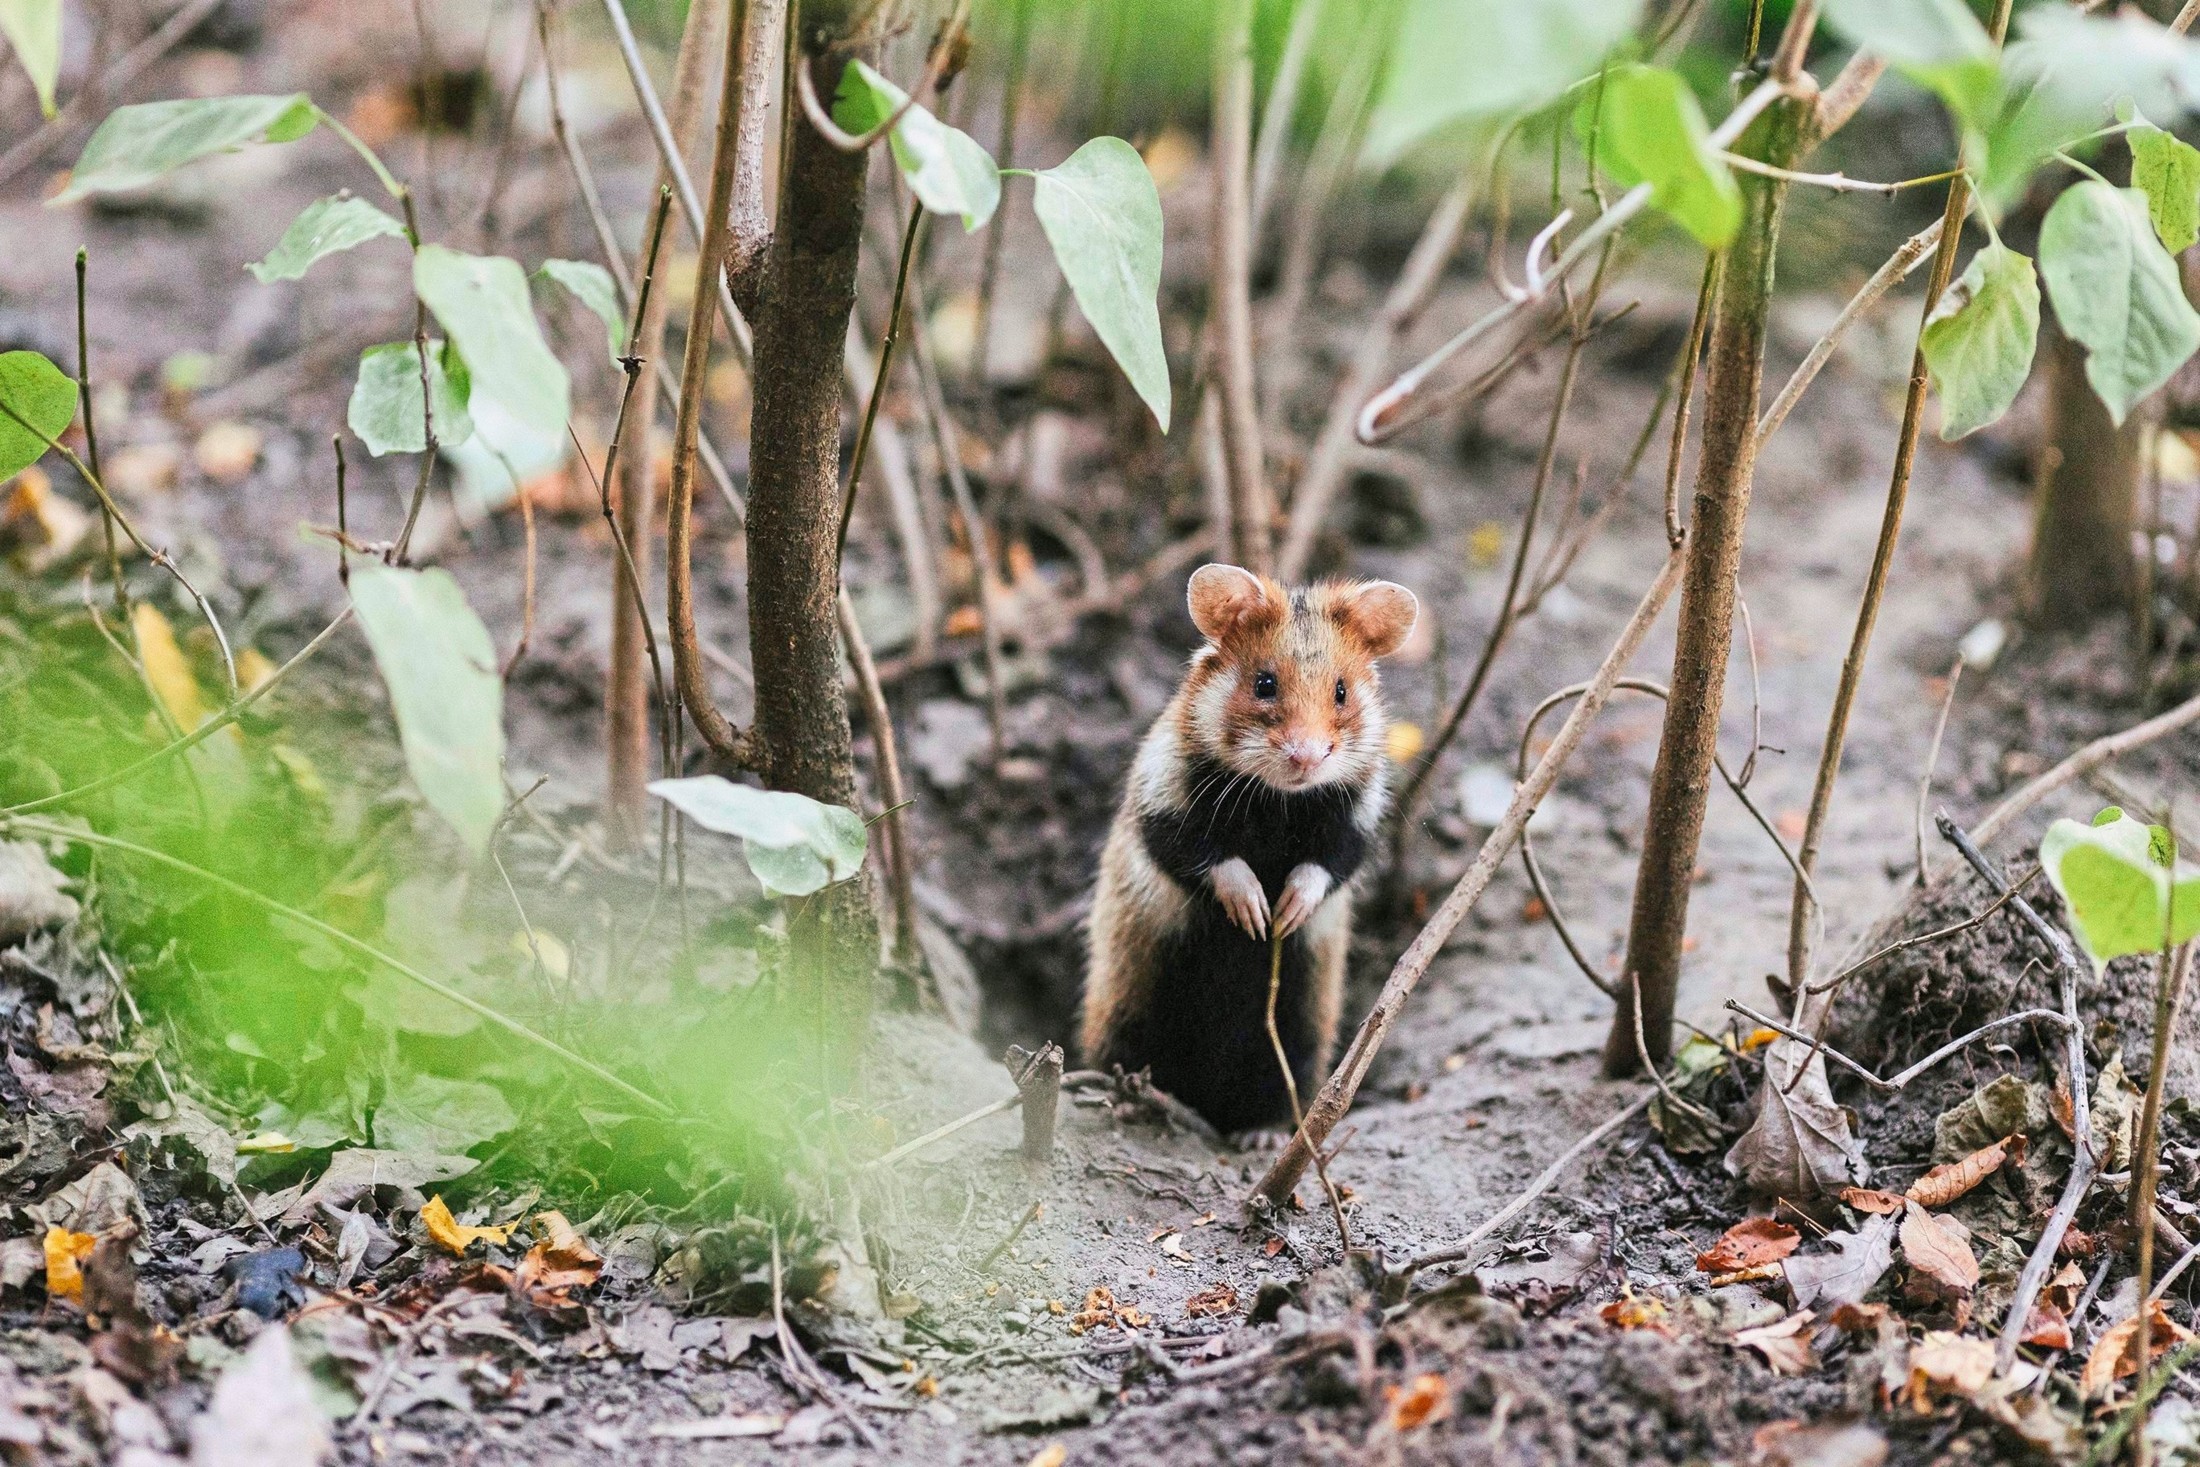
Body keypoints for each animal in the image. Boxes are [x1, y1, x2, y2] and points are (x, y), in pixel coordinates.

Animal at [1080, 563, 1420, 1135]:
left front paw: (1284, 913)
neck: (1278, 802)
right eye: (1264, 683)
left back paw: (1257, 1136)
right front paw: (1256, 913)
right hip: (1130, 1003)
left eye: (1341, 691)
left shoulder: (1358, 820)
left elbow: (1327, 864)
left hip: (1299, 1028)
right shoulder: (1159, 800)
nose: (1307, 759)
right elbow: (1209, 856)